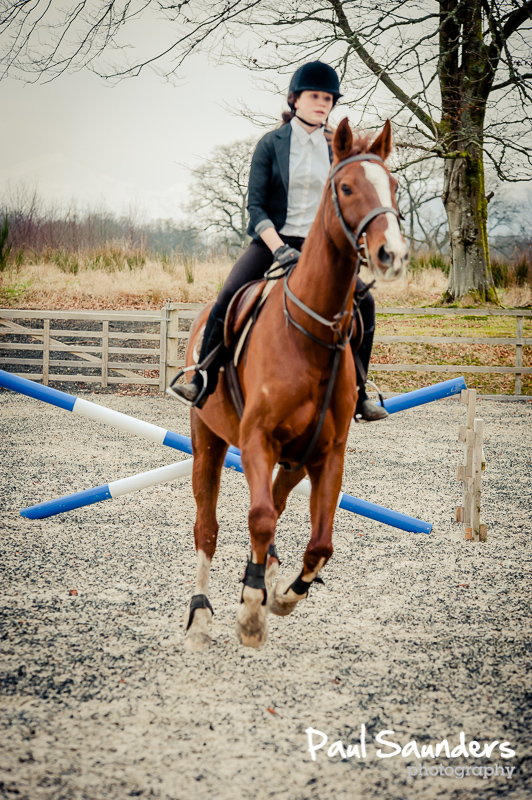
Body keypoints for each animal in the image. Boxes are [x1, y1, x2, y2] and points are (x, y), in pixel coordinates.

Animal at [182, 117, 408, 651]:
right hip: (209, 441)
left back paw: (266, 574)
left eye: (392, 185)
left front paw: (281, 595)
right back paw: (200, 615)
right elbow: (258, 517)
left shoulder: (329, 453)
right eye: (345, 187)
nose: (391, 253)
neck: (310, 333)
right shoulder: (257, 438)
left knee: (276, 503)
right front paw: (250, 613)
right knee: (209, 526)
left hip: (296, 459)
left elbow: (320, 542)